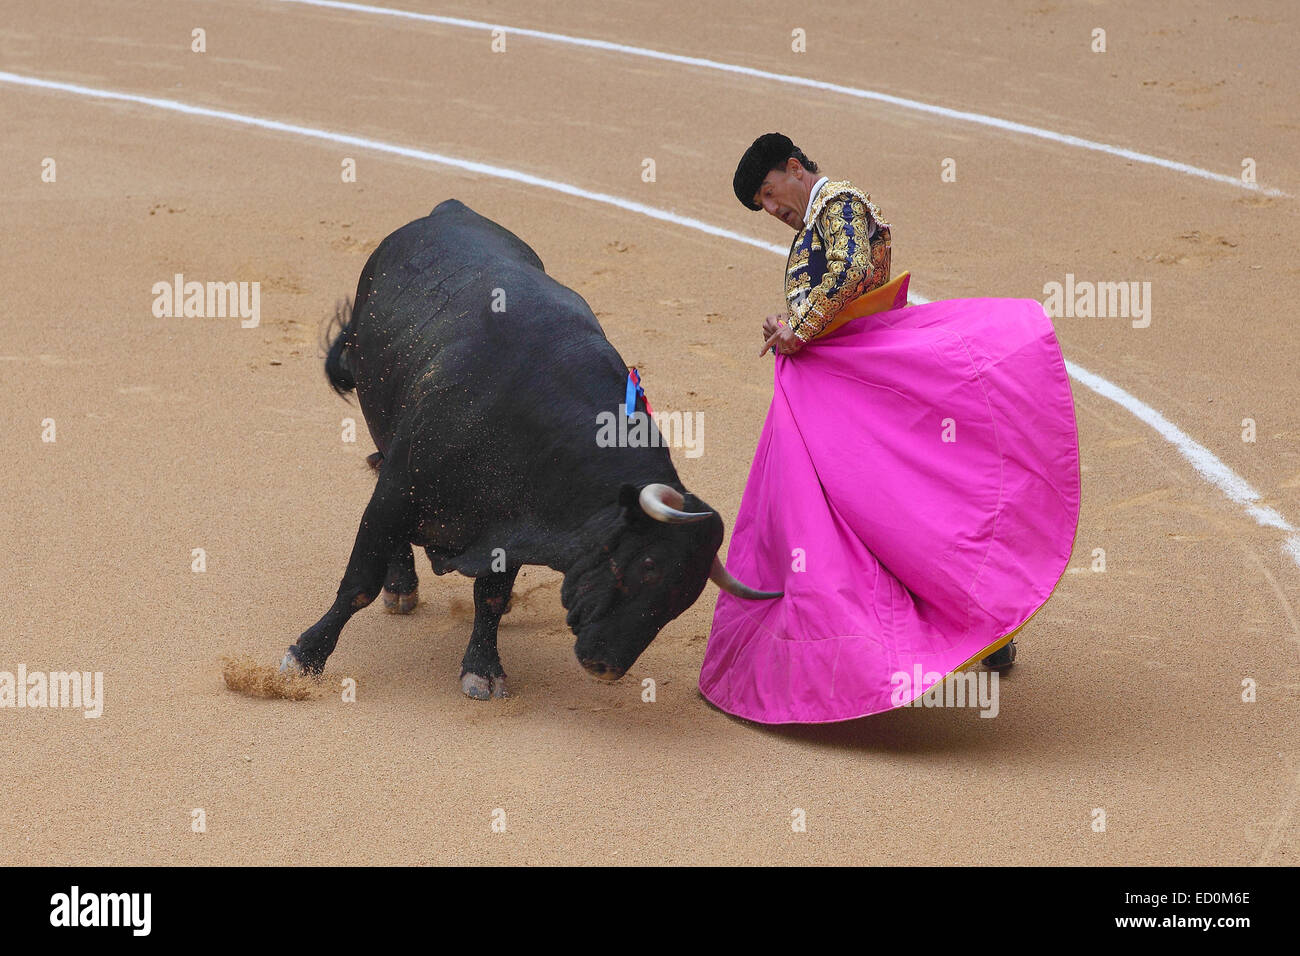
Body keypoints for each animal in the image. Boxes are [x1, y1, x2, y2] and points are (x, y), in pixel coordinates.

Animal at [280, 199, 780, 698]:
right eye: (650, 565)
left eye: (686, 598)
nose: (607, 666)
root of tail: (448, 209)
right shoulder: (397, 491)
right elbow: (359, 583)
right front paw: (306, 656)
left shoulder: (513, 526)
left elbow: (491, 596)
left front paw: (483, 668)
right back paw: (400, 585)